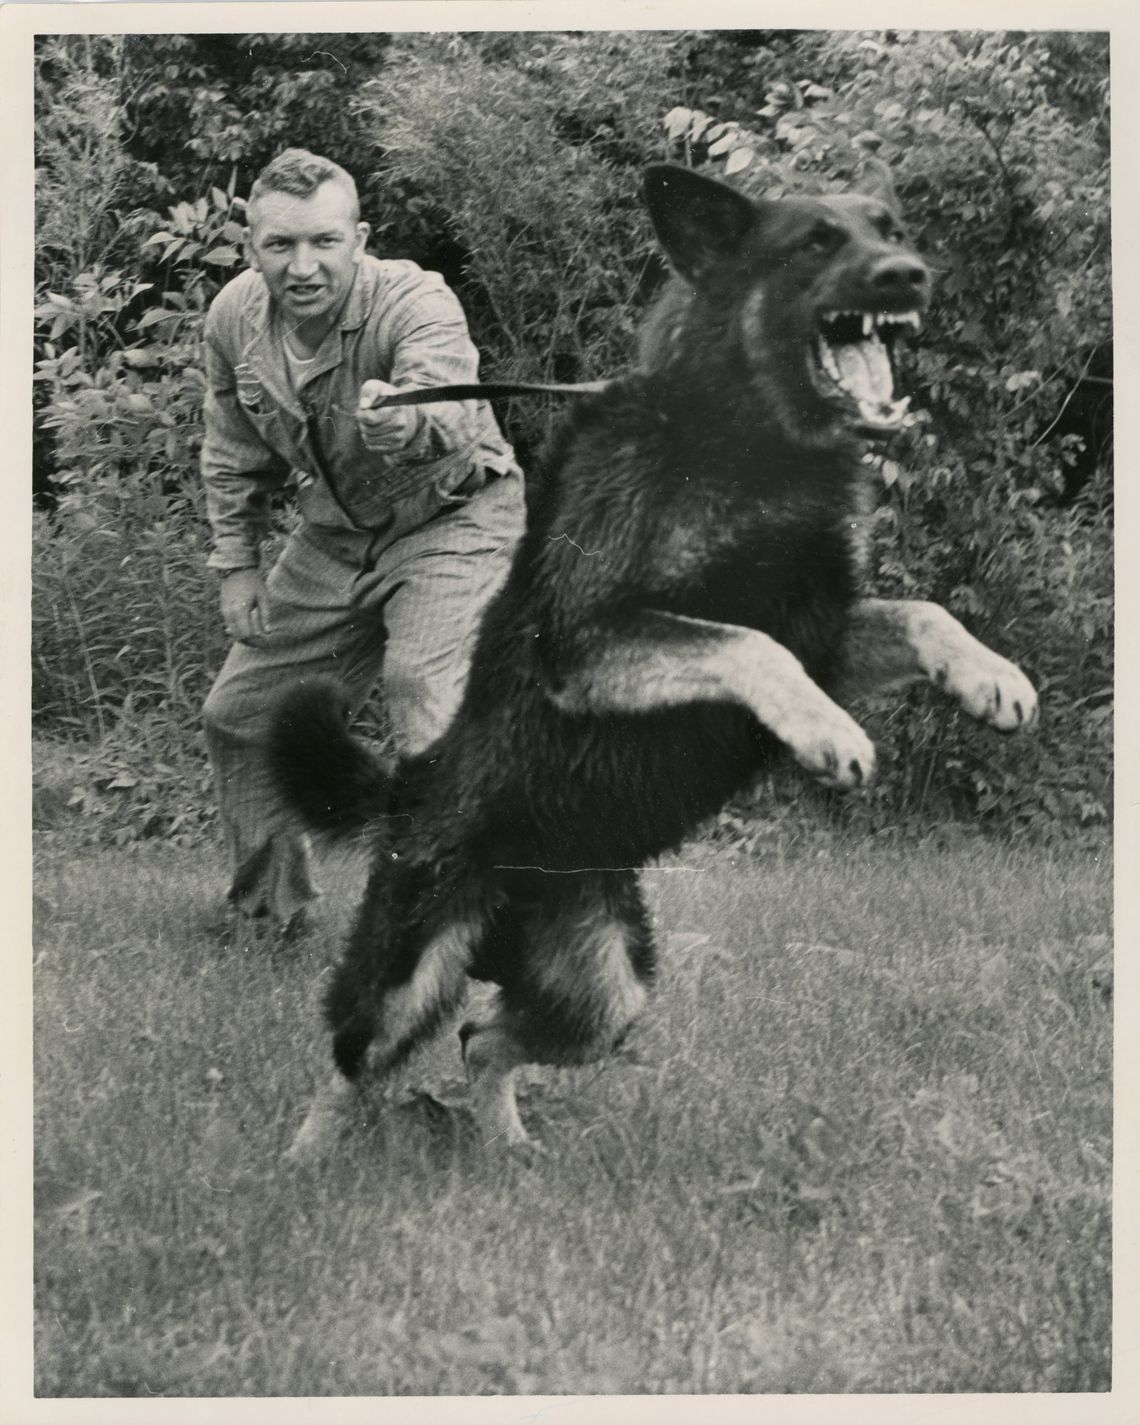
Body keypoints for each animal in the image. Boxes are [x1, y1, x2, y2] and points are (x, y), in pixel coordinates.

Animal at [265, 158, 1031, 1157]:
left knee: (479, 1038)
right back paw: (303, 1162)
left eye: (889, 229)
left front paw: (991, 676)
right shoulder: (590, 644)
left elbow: (921, 612)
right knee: (351, 1062)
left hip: (608, 989)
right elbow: (747, 644)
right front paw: (831, 735)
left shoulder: (823, 631)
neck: (750, 443)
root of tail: (409, 785)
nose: (910, 275)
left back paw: (508, 1149)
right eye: (815, 243)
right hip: (411, 971)